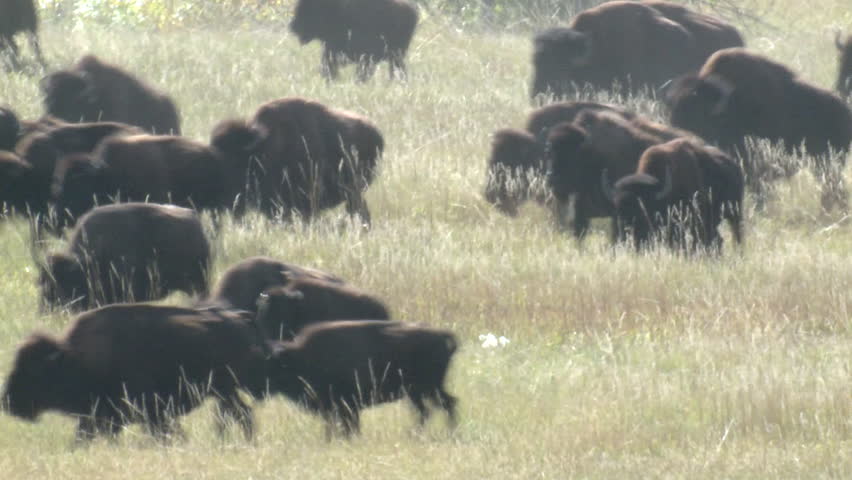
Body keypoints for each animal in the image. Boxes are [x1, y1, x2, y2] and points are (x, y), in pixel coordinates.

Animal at [2, 304, 267, 442]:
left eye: (34, 373)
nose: (8, 401)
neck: (75, 358)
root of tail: (239, 317)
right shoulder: (97, 419)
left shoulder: (144, 414)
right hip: (223, 392)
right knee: (237, 414)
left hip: (224, 390)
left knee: (241, 414)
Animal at [264, 320, 458, 439]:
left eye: (270, 365)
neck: (301, 357)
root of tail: (441, 336)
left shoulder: (346, 405)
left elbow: (348, 424)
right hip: (417, 392)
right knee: (430, 409)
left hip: (426, 389)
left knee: (443, 405)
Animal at [602, 138, 744, 252]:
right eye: (618, 210)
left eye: (644, 210)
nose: (626, 231)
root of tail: (734, 166)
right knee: (717, 239)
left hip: (734, 214)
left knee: (734, 235)